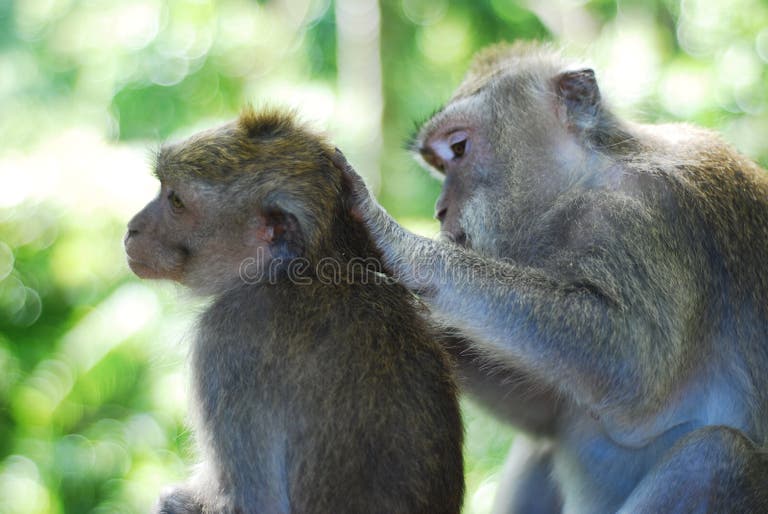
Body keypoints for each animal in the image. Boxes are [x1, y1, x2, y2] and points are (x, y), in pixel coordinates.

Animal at [335, 41, 768, 513]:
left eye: (459, 148)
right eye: (439, 164)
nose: (440, 210)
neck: (584, 185)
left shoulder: (649, 219)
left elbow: (632, 364)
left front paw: (401, 244)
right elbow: (547, 412)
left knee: (714, 457)